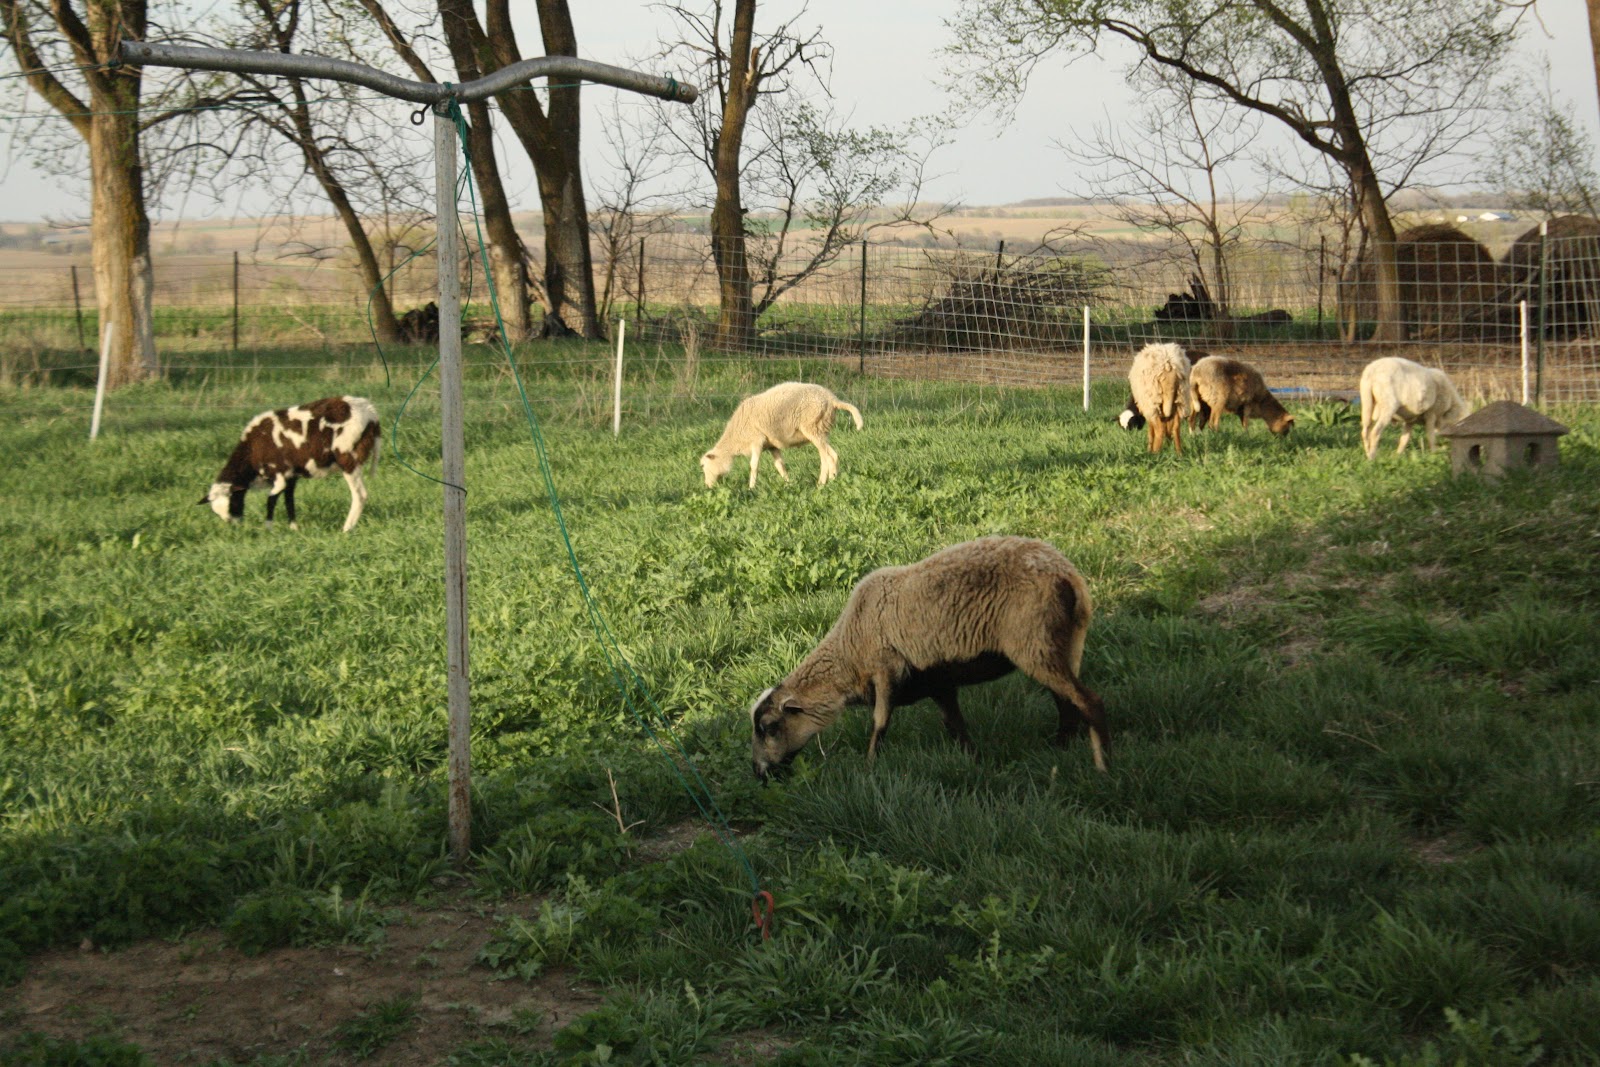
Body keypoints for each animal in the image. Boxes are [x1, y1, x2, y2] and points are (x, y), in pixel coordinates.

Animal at [199, 395, 380, 532]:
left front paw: (268, 529)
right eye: (218, 514)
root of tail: (370, 412)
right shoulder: (291, 476)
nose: (236, 527)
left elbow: (271, 500)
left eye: (234, 503)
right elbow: (288, 501)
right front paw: (294, 529)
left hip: (347, 457)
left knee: (360, 495)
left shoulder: (279, 474)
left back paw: (346, 529)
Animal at [700, 382, 864, 489]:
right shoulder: (772, 446)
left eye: (704, 466)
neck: (735, 440)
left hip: (812, 428)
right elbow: (780, 466)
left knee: (827, 457)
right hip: (822, 430)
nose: (708, 486)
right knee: (830, 456)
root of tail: (832, 399)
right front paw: (788, 483)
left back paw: (822, 483)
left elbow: (753, 466)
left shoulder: (757, 441)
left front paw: (751, 487)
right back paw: (831, 479)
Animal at [749, 536, 1108, 780]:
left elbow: (880, 723)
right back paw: (1059, 752)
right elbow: (955, 726)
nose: (759, 773)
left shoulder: (885, 669)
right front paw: (973, 761)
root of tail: (1068, 577)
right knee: (1067, 704)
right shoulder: (939, 684)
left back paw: (1103, 764)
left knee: (1089, 701)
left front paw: (869, 767)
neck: (848, 653)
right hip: (1065, 644)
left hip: (1035, 643)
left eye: (768, 728)